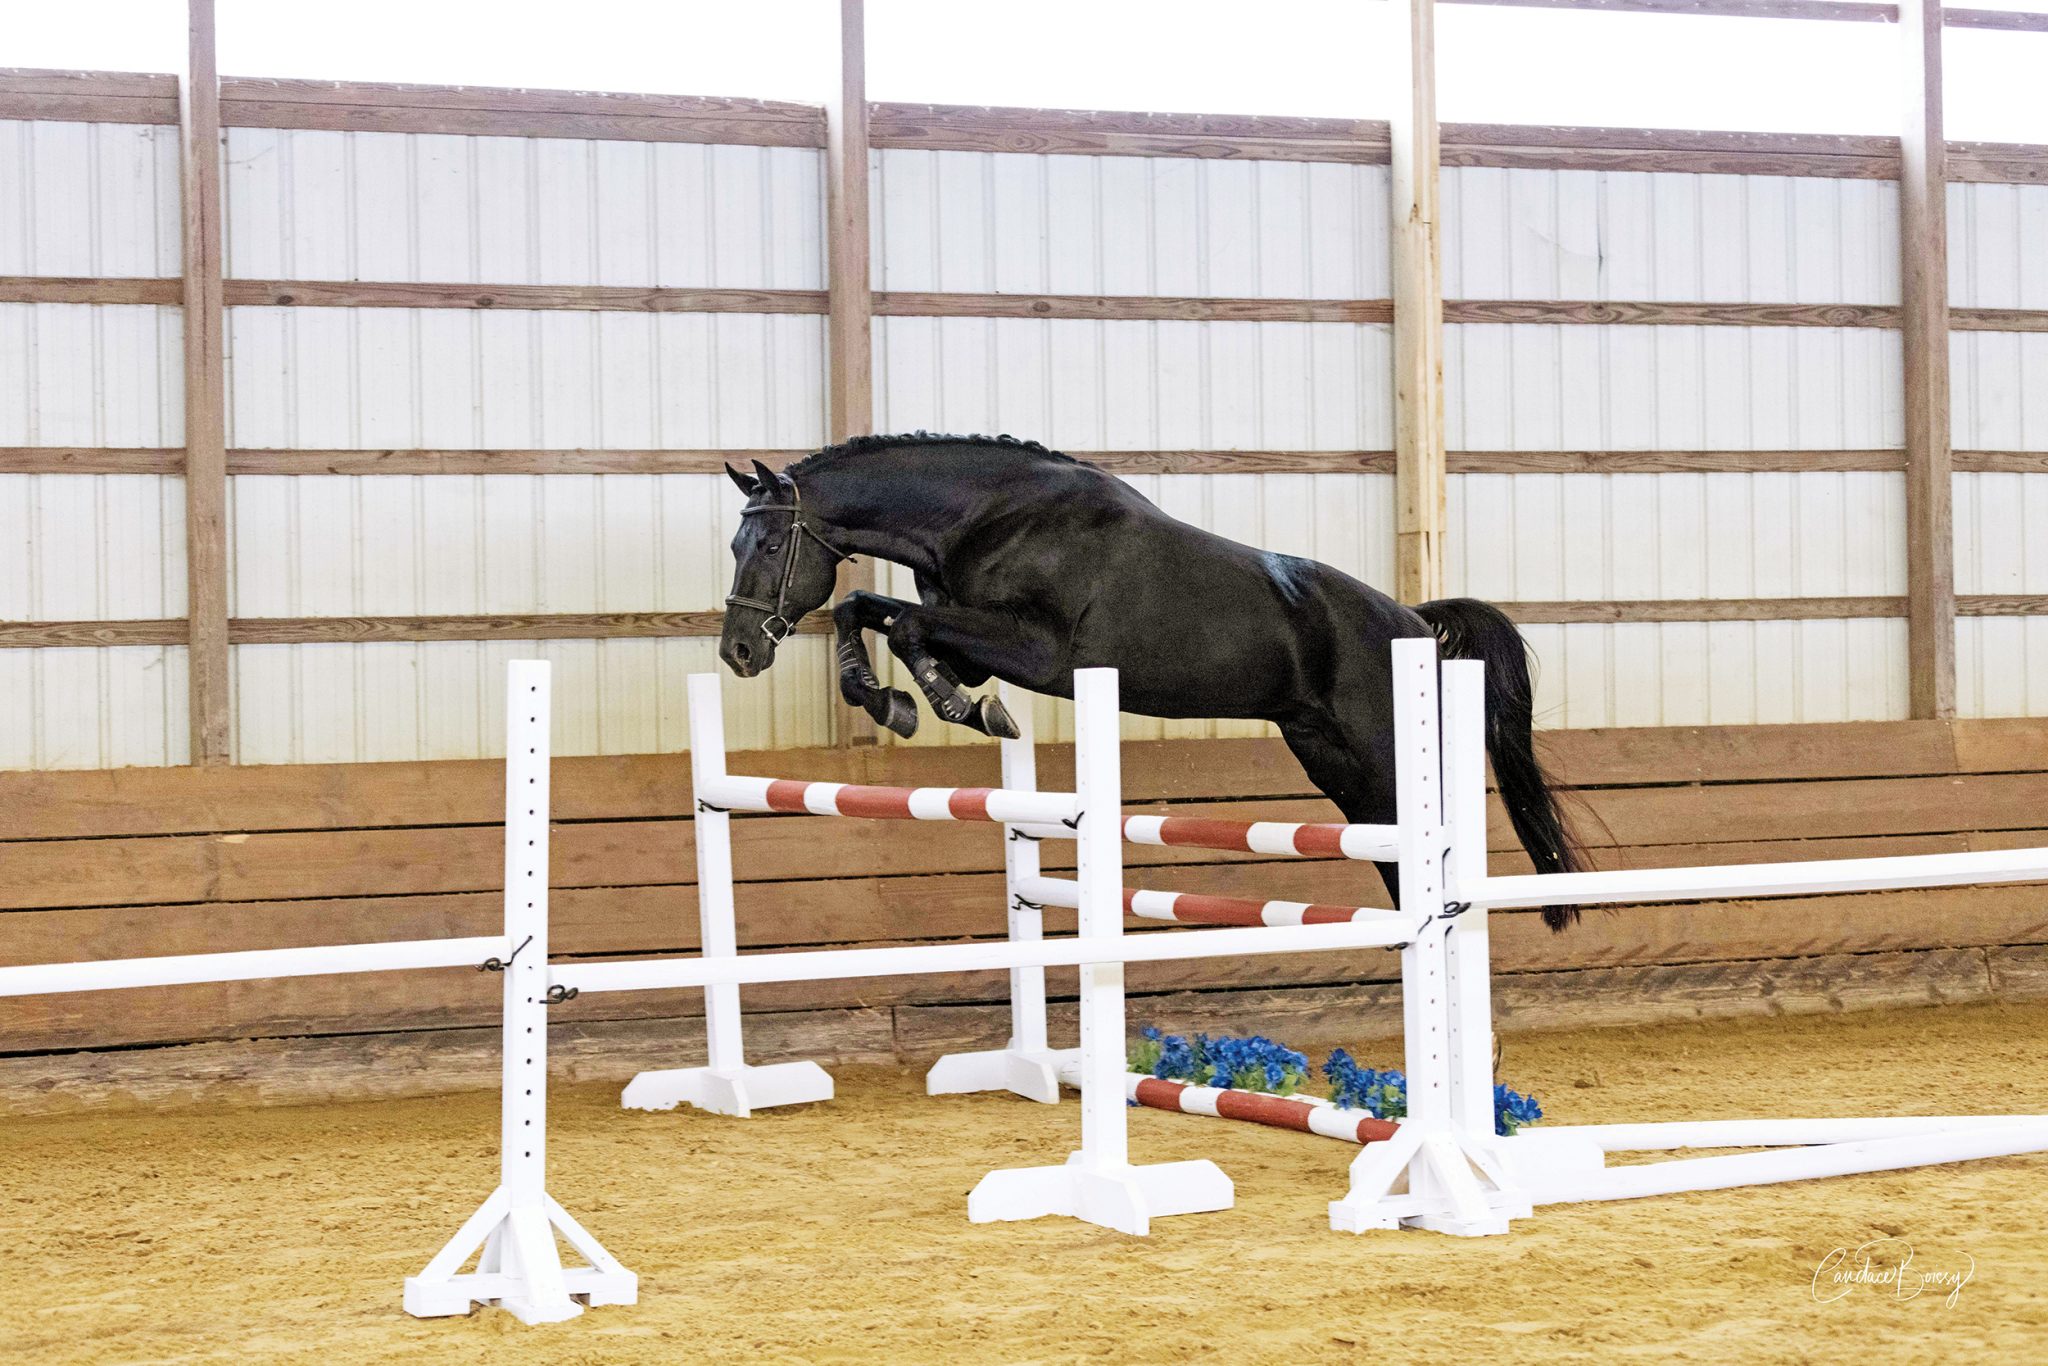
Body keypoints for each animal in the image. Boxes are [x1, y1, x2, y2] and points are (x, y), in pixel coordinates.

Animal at [718, 433, 1583, 927]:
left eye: (767, 546)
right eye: (736, 544)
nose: (737, 652)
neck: (991, 516)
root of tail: (1414, 622)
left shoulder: (1039, 652)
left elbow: (900, 624)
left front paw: (941, 703)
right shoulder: (977, 640)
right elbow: (870, 610)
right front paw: (906, 699)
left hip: (1385, 760)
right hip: (1335, 763)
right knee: (1400, 866)